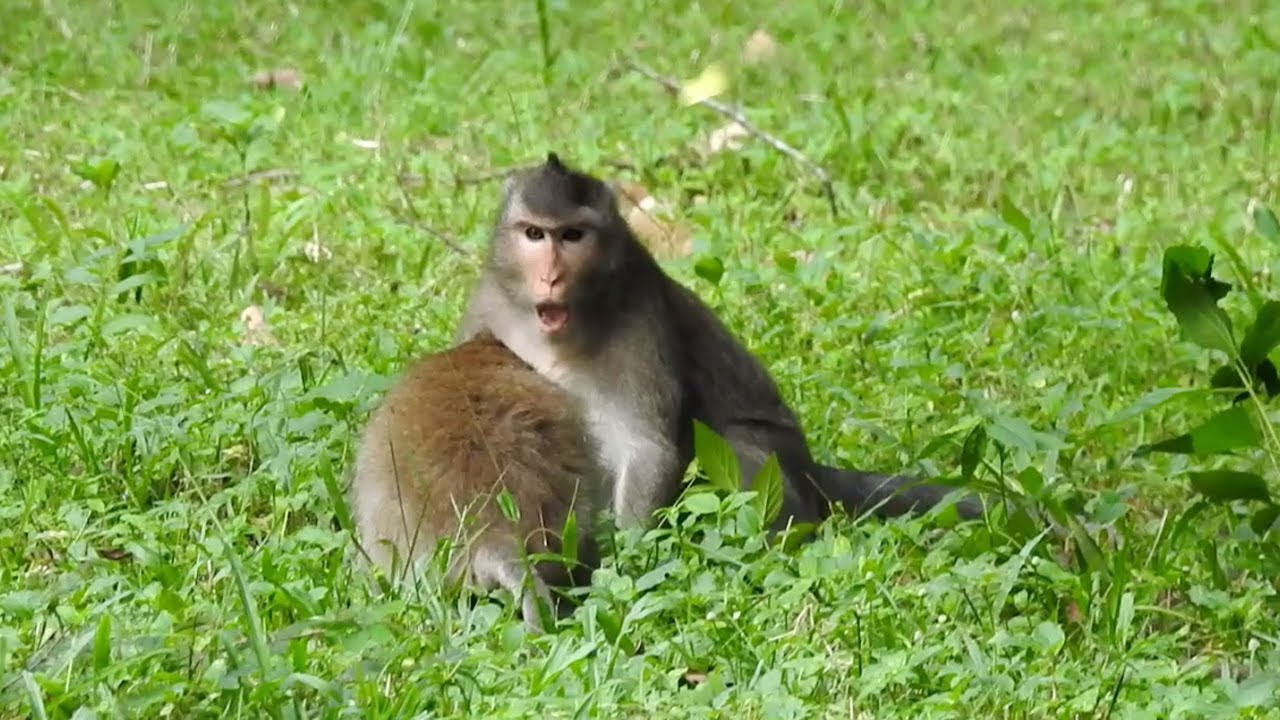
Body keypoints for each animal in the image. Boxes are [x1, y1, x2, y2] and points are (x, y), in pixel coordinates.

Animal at [456, 152, 982, 532]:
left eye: (572, 236)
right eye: (533, 234)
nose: (551, 276)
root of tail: (811, 472)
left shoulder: (639, 316)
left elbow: (647, 448)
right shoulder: (487, 308)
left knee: (738, 447)